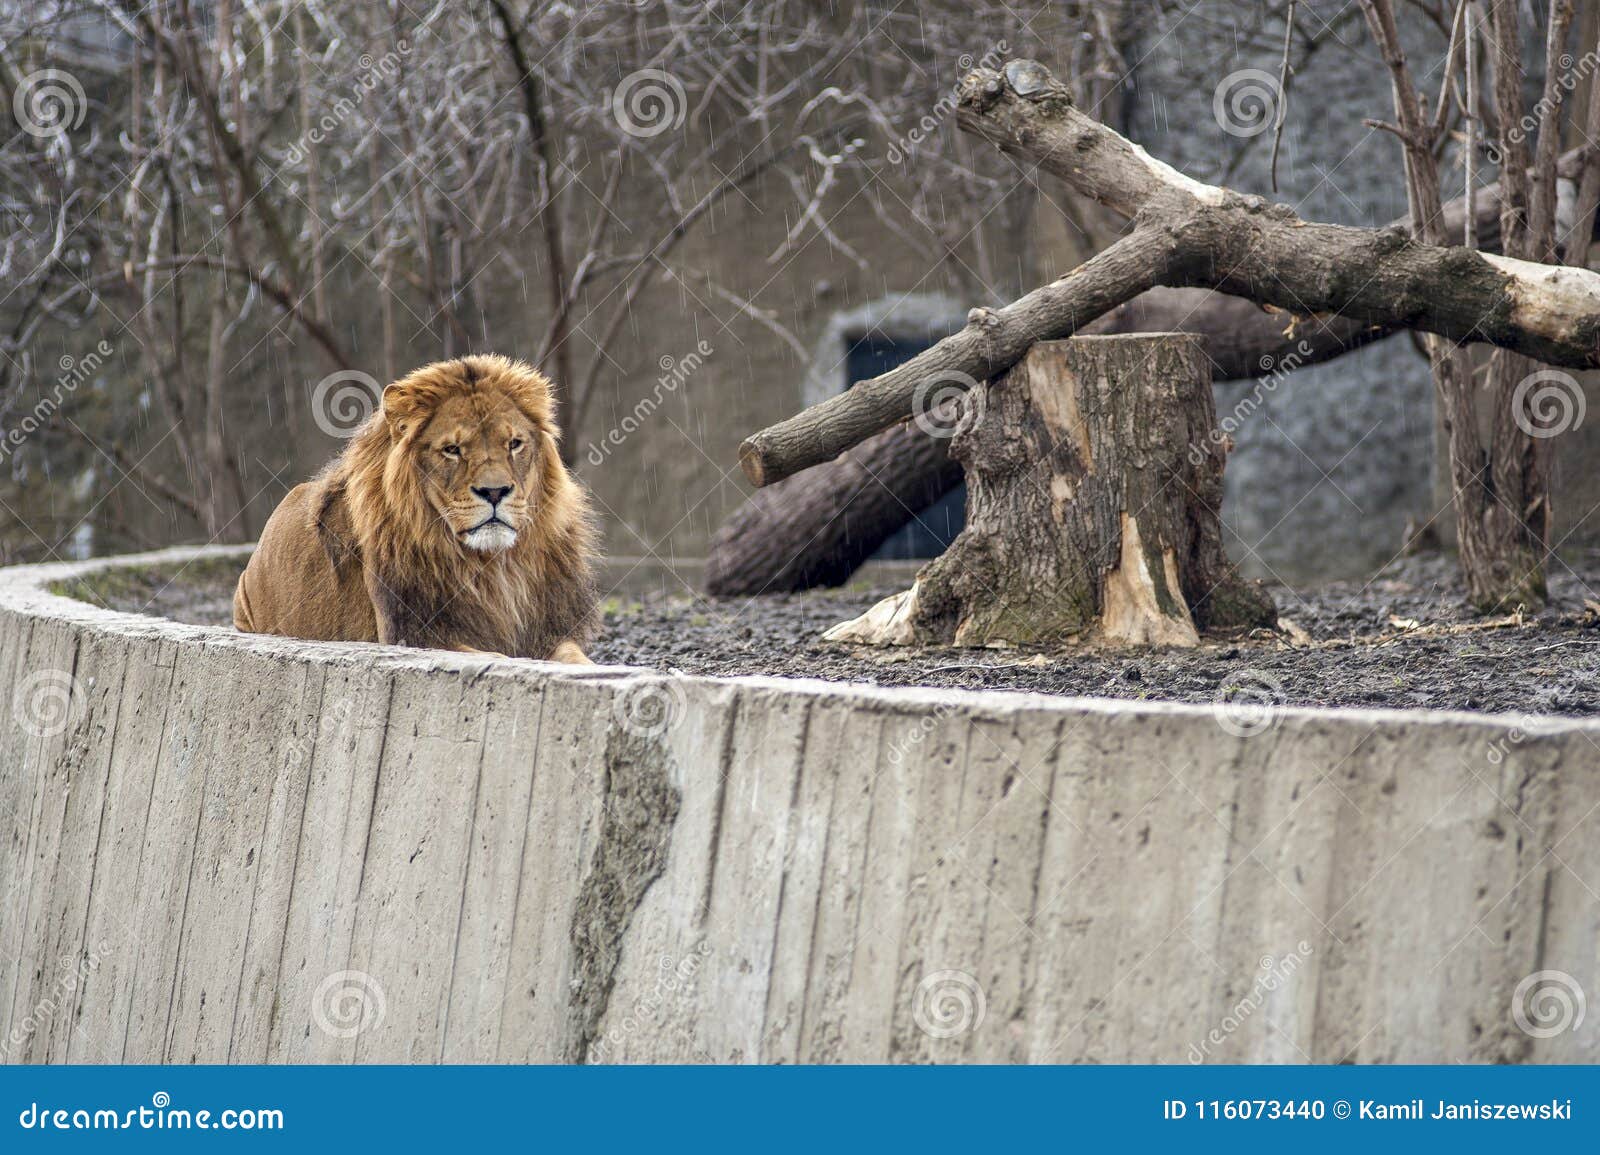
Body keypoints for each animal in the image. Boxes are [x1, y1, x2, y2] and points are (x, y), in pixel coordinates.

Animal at [234, 354, 599, 663]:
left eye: (514, 444)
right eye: (452, 449)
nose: (494, 492)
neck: (492, 565)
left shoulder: (549, 633)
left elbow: (575, 659)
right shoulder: (415, 634)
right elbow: (495, 656)